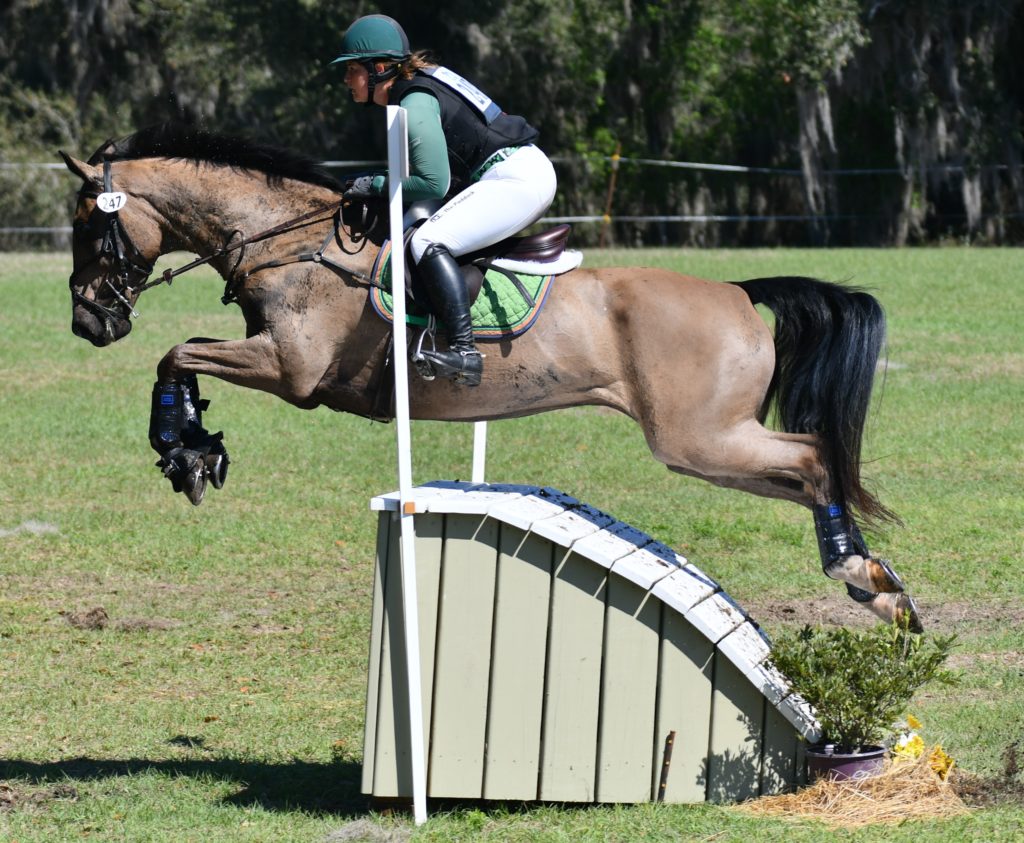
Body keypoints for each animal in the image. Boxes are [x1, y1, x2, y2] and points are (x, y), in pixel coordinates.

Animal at [61, 124, 921, 632]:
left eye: (86, 223)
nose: (88, 323)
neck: (290, 240)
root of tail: (740, 291)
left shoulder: (291, 370)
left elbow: (178, 352)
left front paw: (182, 446)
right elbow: (180, 354)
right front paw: (192, 444)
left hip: (700, 439)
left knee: (812, 455)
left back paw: (858, 571)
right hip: (709, 444)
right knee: (808, 470)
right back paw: (876, 582)